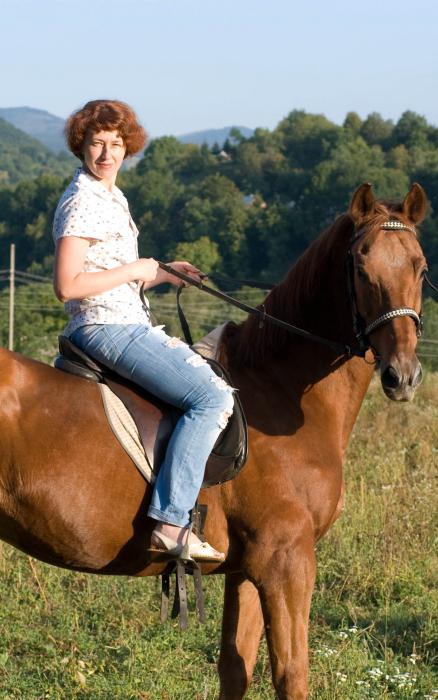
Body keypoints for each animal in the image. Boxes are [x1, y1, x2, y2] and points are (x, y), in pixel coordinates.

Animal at [0, 183, 428, 696]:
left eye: (421, 267)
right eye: (362, 269)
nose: (402, 375)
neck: (277, 391)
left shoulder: (245, 568)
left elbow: (235, 668)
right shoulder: (286, 561)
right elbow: (291, 674)